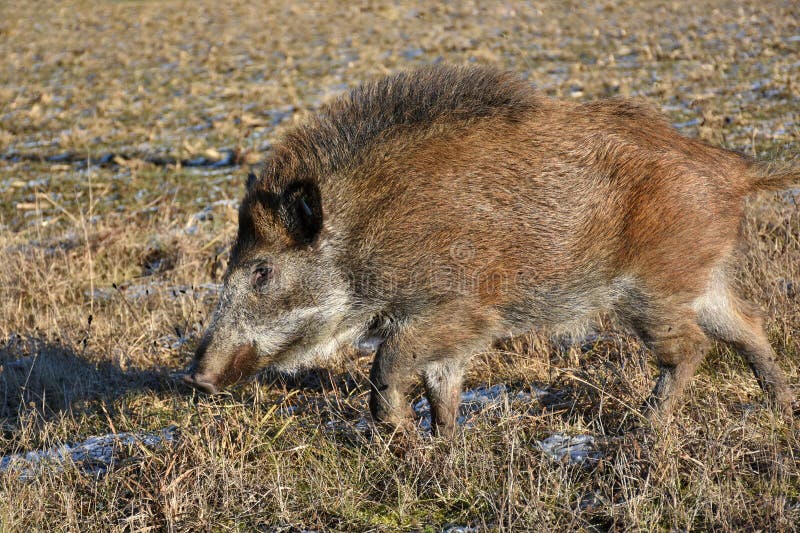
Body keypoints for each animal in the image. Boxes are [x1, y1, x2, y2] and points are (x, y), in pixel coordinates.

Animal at [183, 64, 797, 437]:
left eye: (262, 271)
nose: (195, 379)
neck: (363, 233)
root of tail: (736, 170)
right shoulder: (448, 332)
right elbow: (442, 389)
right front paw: (444, 447)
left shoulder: (459, 310)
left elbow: (387, 368)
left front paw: (401, 440)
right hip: (701, 279)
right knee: (748, 327)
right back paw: (780, 407)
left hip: (652, 290)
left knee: (694, 348)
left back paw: (643, 431)